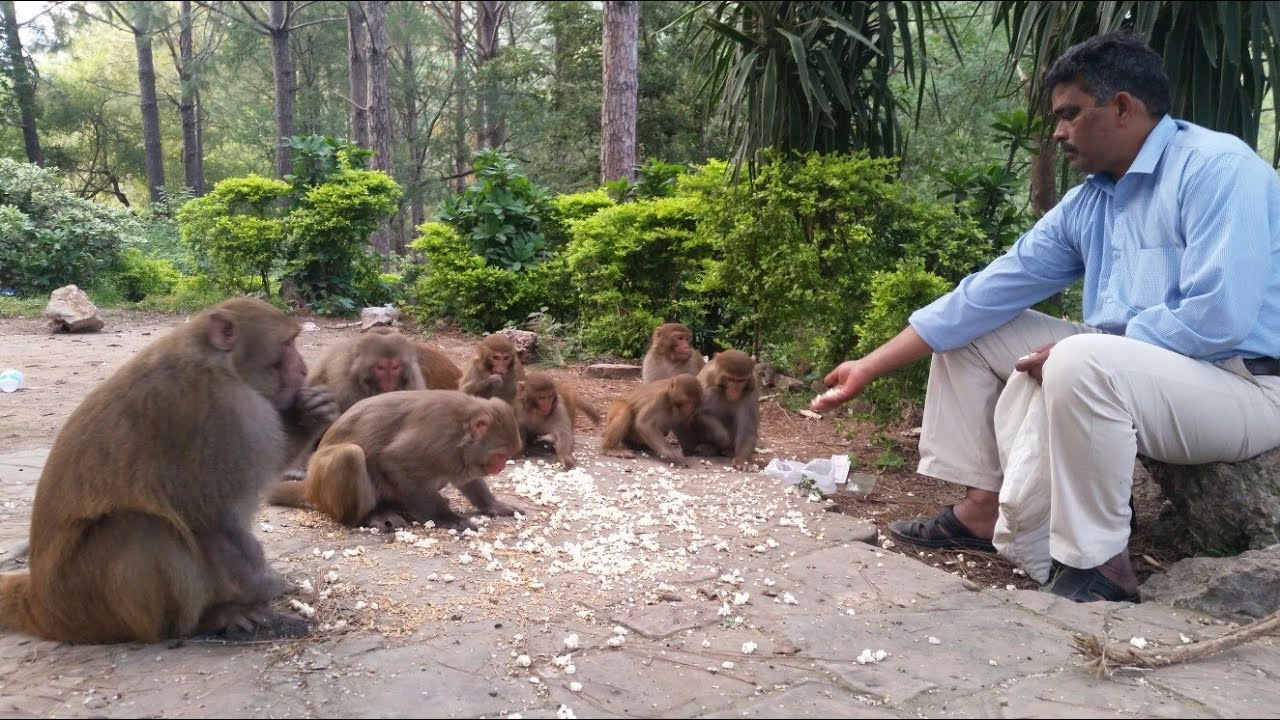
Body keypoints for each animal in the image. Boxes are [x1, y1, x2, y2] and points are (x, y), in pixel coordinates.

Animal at [0, 298, 338, 644]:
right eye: (287, 343)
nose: (304, 369)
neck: (220, 363)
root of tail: (38, 598)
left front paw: (311, 413)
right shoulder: (223, 412)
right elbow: (214, 518)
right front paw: (267, 585)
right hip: (83, 599)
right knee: (140, 525)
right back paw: (199, 621)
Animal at [269, 390, 524, 532]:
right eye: (500, 455)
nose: (501, 467)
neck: (462, 430)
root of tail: (310, 486)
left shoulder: (457, 456)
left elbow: (466, 479)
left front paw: (493, 504)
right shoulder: (437, 441)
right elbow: (393, 461)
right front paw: (445, 517)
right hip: (325, 487)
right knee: (350, 455)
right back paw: (370, 516)